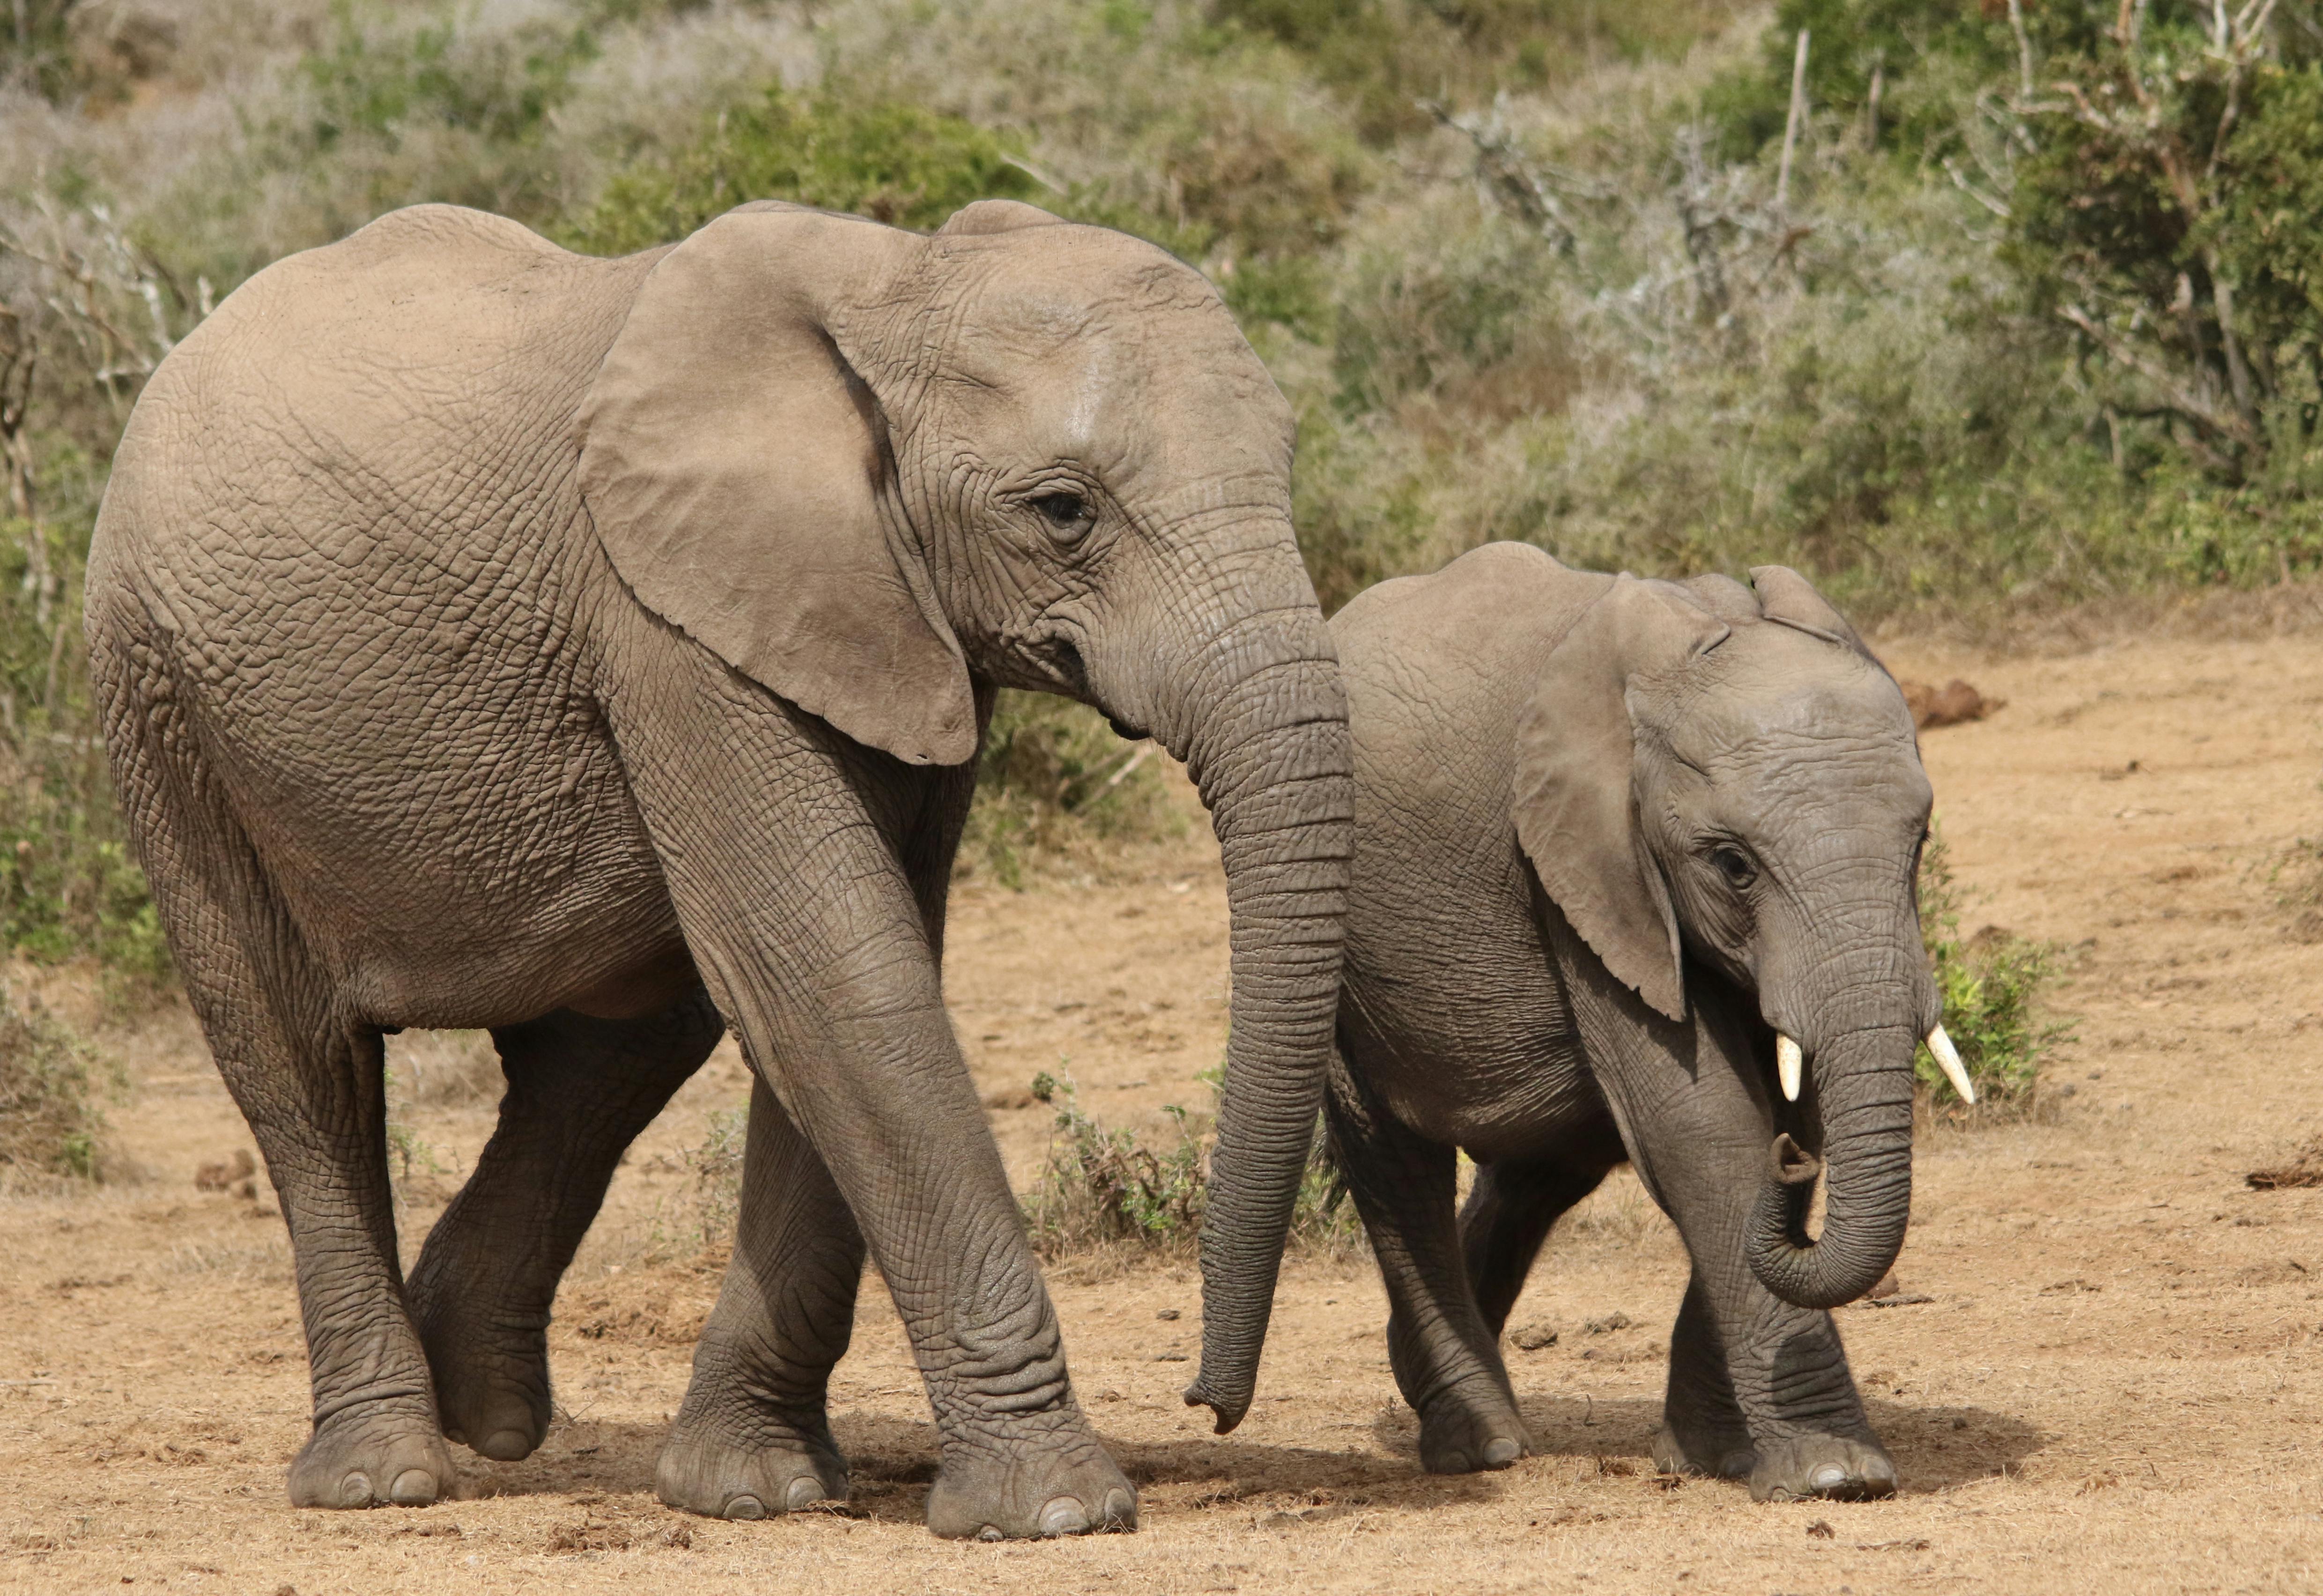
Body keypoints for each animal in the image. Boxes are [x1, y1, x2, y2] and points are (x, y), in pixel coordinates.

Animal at [84, 197, 1353, 1537]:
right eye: (1063, 510)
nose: (1207, 1404)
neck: (896, 280)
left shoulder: (880, 622)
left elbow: (847, 974)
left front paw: (752, 1489)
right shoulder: (669, 626)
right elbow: (832, 975)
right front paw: (1054, 1511)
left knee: (614, 1049)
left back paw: (483, 1411)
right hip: (162, 705)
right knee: (301, 1067)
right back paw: (385, 1475)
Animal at [1323, 543, 1966, 1503]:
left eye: (1919, 842)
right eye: (1733, 865)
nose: (1794, 1165)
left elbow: (1764, 1112)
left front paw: (1709, 1458)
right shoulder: (1585, 868)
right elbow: (1700, 1126)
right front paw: (1835, 1477)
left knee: (1545, 1163)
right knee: (1394, 1156)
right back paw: (1481, 1444)